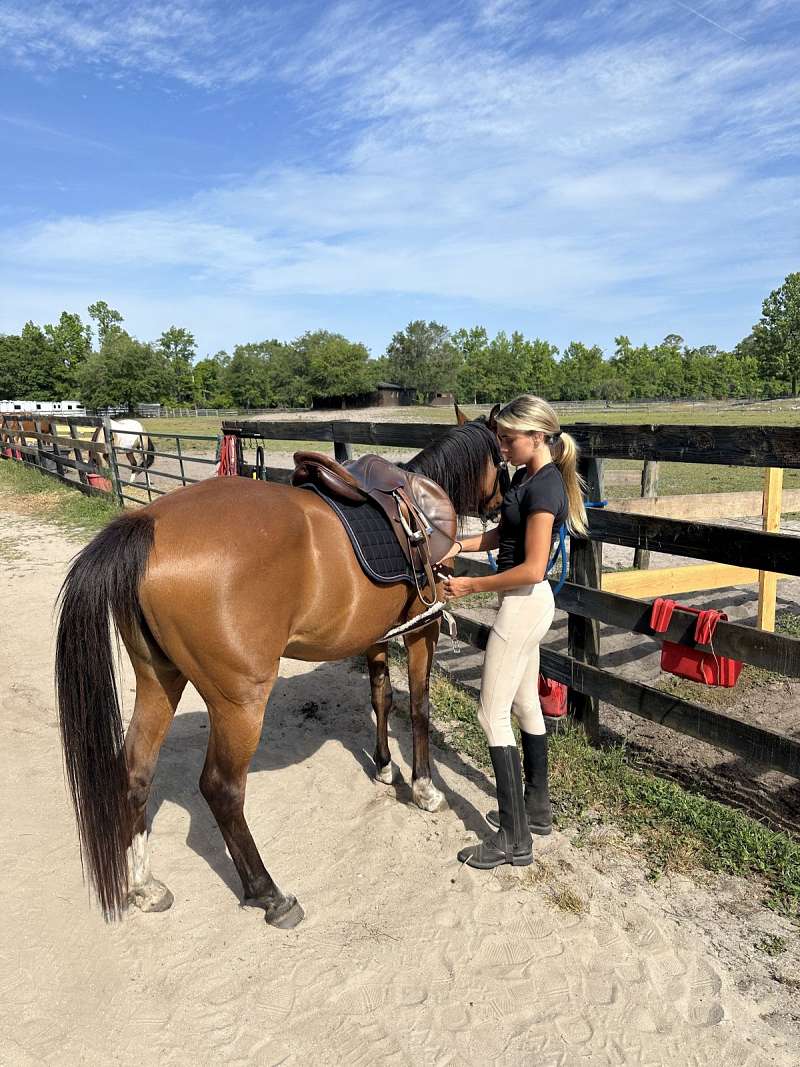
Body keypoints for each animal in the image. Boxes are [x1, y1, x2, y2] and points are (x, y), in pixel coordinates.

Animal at [55, 406, 508, 929]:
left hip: (159, 681)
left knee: (135, 775)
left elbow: (381, 696)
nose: (502, 504)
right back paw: (269, 894)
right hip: (240, 701)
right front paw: (425, 789)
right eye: (501, 458)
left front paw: (383, 767)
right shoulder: (422, 630)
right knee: (222, 789)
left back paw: (145, 886)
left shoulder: (376, 634)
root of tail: (146, 525)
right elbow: (418, 709)